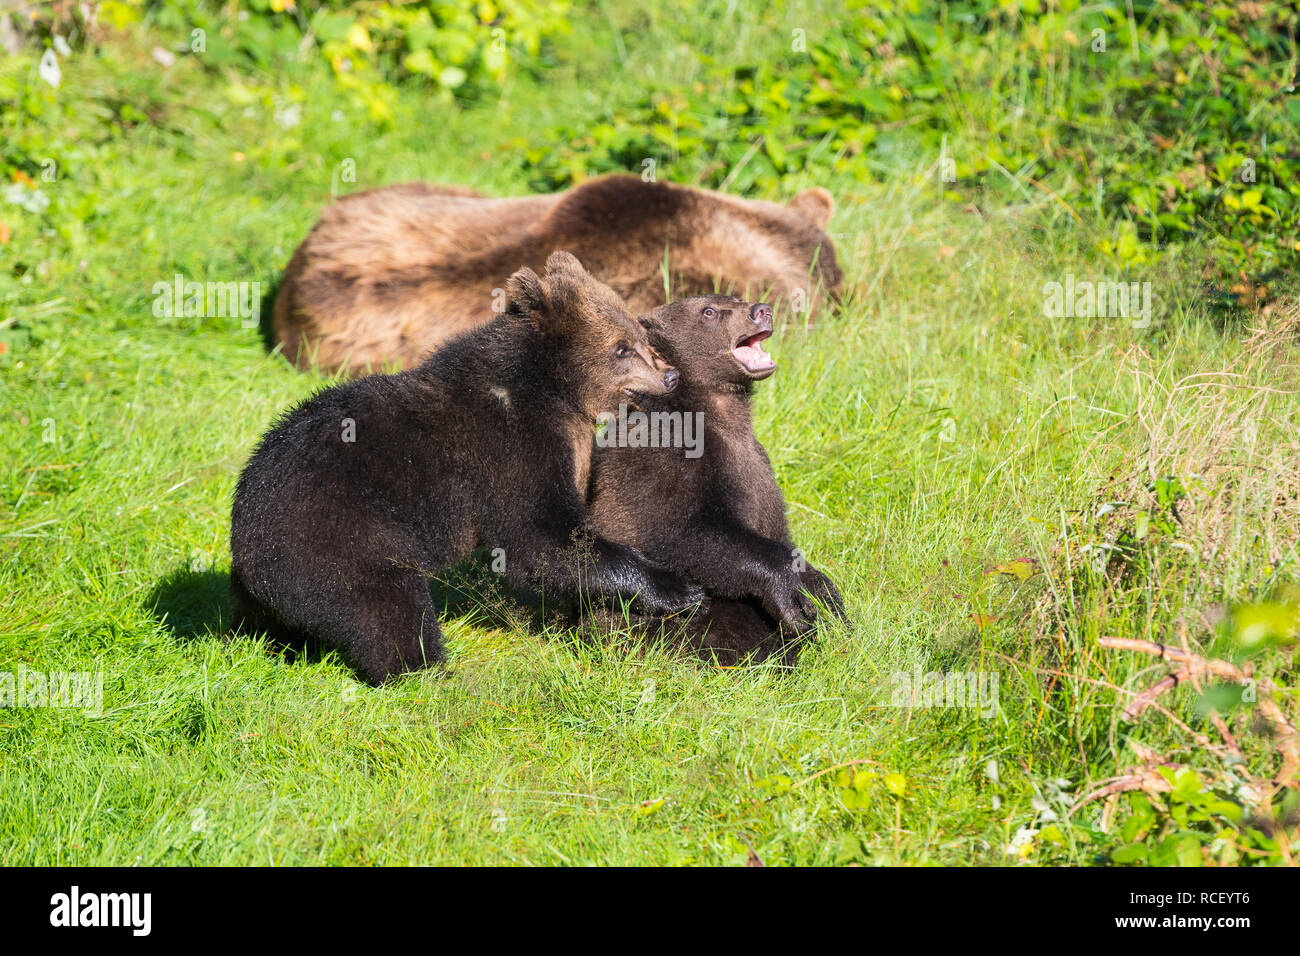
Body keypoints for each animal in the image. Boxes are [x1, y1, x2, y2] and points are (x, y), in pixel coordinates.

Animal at [230, 252, 704, 685]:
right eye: (621, 347)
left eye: (639, 333)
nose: (670, 376)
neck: (552, 389)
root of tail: (244, 530)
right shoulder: (514, 447)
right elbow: (542, 536)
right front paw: (679, 586)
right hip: (339, 530)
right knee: (385, 603)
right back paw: (428, 669)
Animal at [586, 294, 845, 665]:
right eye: (708, 311)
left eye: (736, 299)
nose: (762, 310)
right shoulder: (665, 449)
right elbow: (681, 531)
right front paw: (792, 594)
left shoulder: (757, 461)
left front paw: (822, 593)